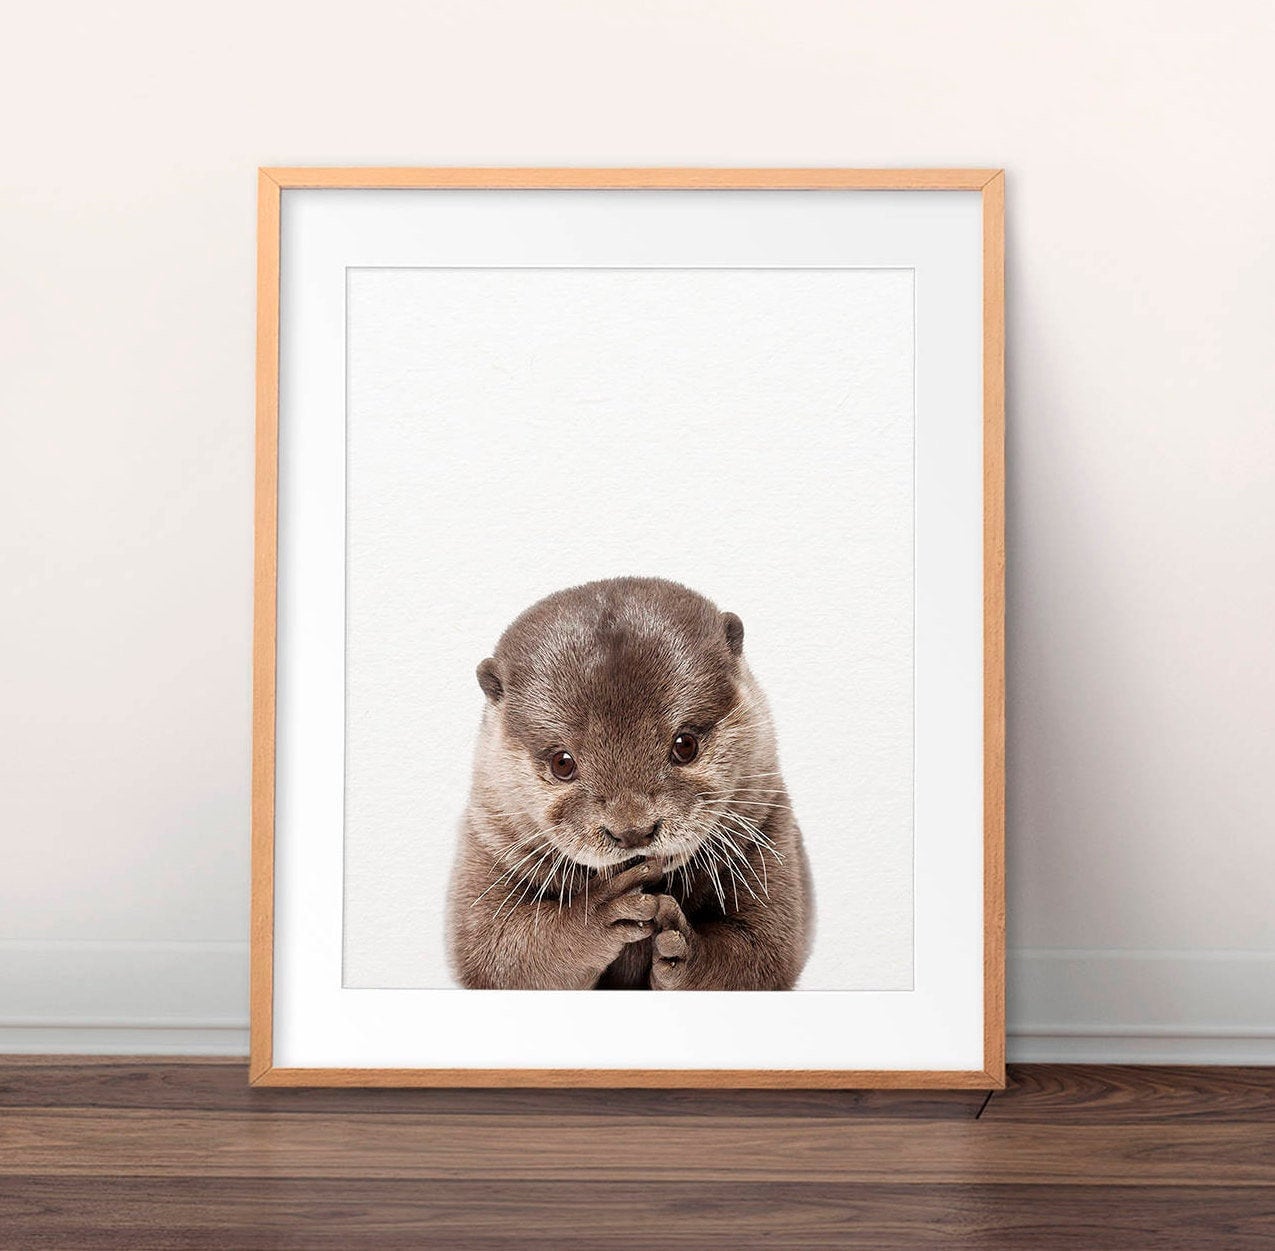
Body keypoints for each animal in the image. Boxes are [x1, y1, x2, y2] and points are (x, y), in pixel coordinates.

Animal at [445, 577, 812, 990]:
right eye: (562, 763)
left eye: (685, 744)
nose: (633, 830)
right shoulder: (486, 845)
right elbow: (498, 953)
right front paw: (600, 911)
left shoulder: (770, 834)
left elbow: (763, 954)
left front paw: (682, 947)